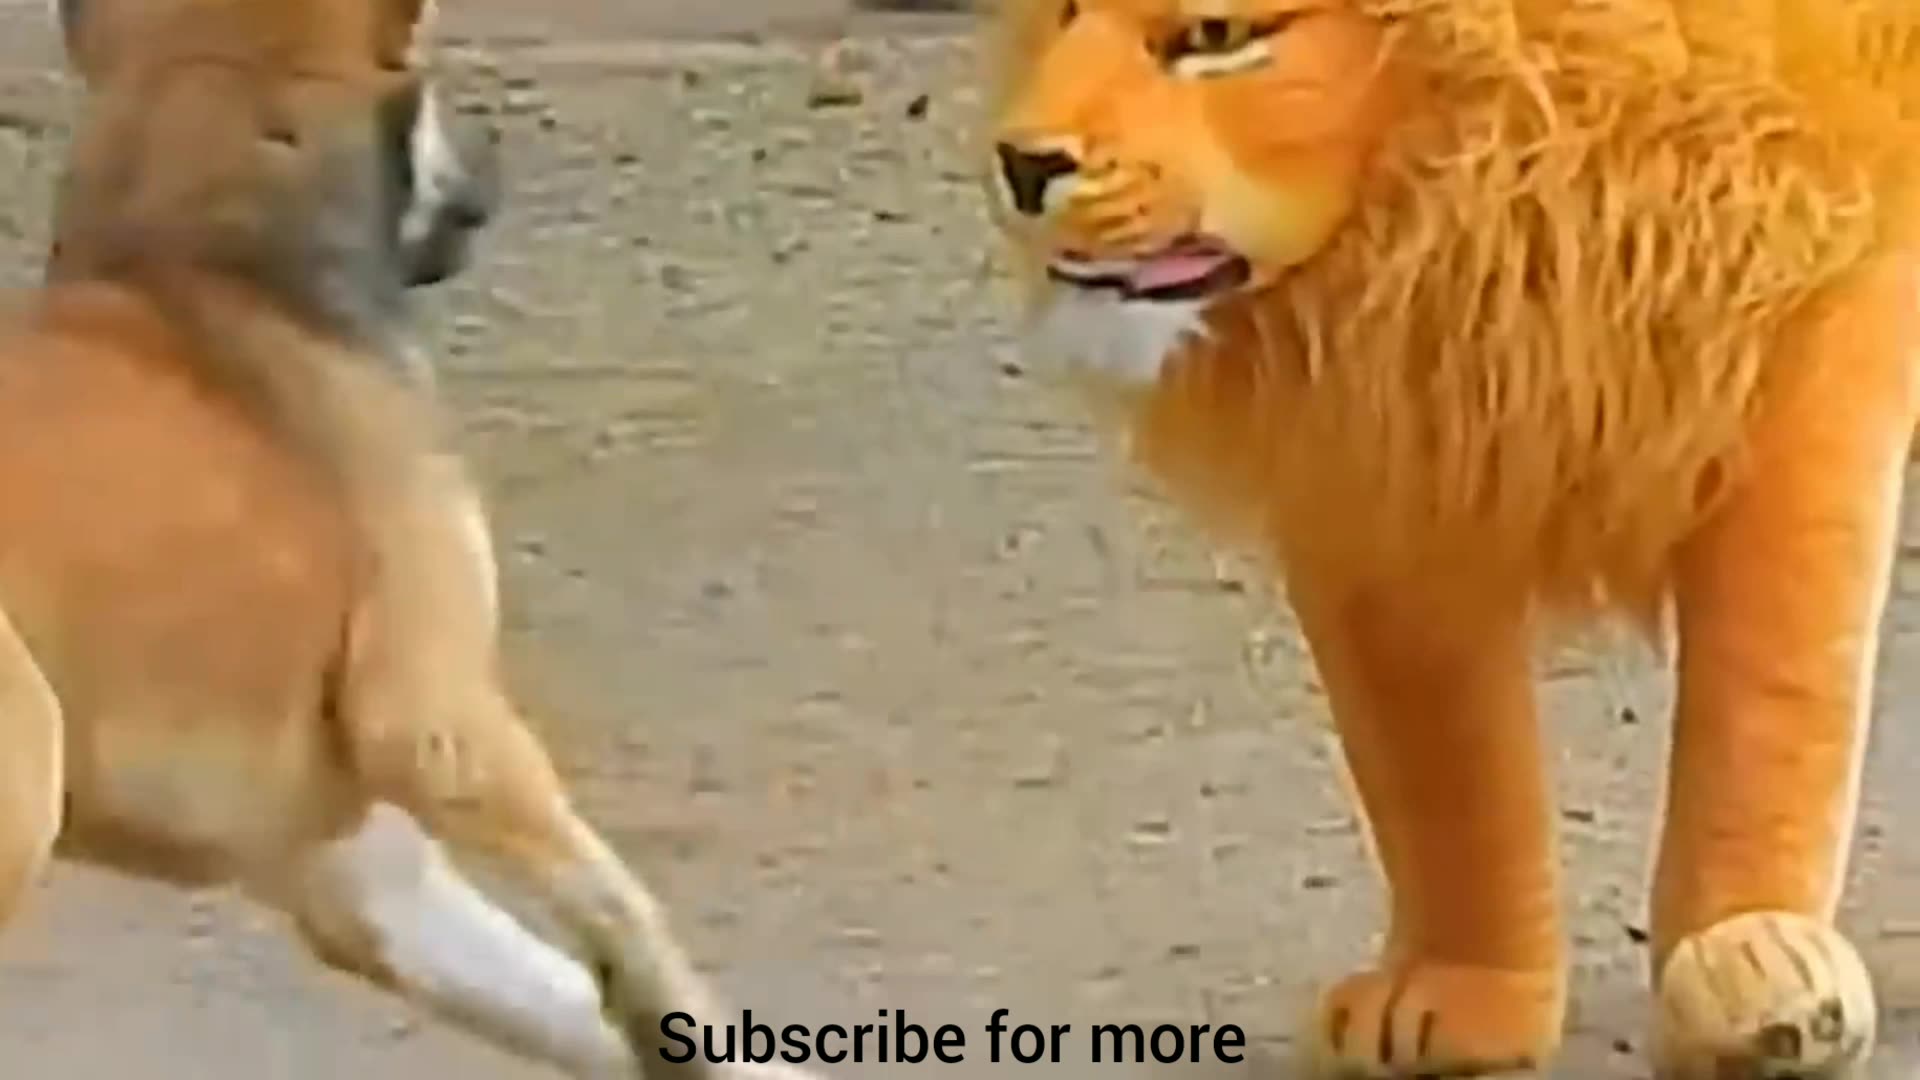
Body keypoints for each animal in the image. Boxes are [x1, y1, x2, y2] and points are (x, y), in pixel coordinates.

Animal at [985, 1, 1920, 1076]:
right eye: (1062, 14)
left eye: (1216, 35)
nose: (1020, 163)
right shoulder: (1392, 467)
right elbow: (1447, 772)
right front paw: (1453, 996)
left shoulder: (1809, 346)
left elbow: (1769, 708)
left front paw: (1755, 968)